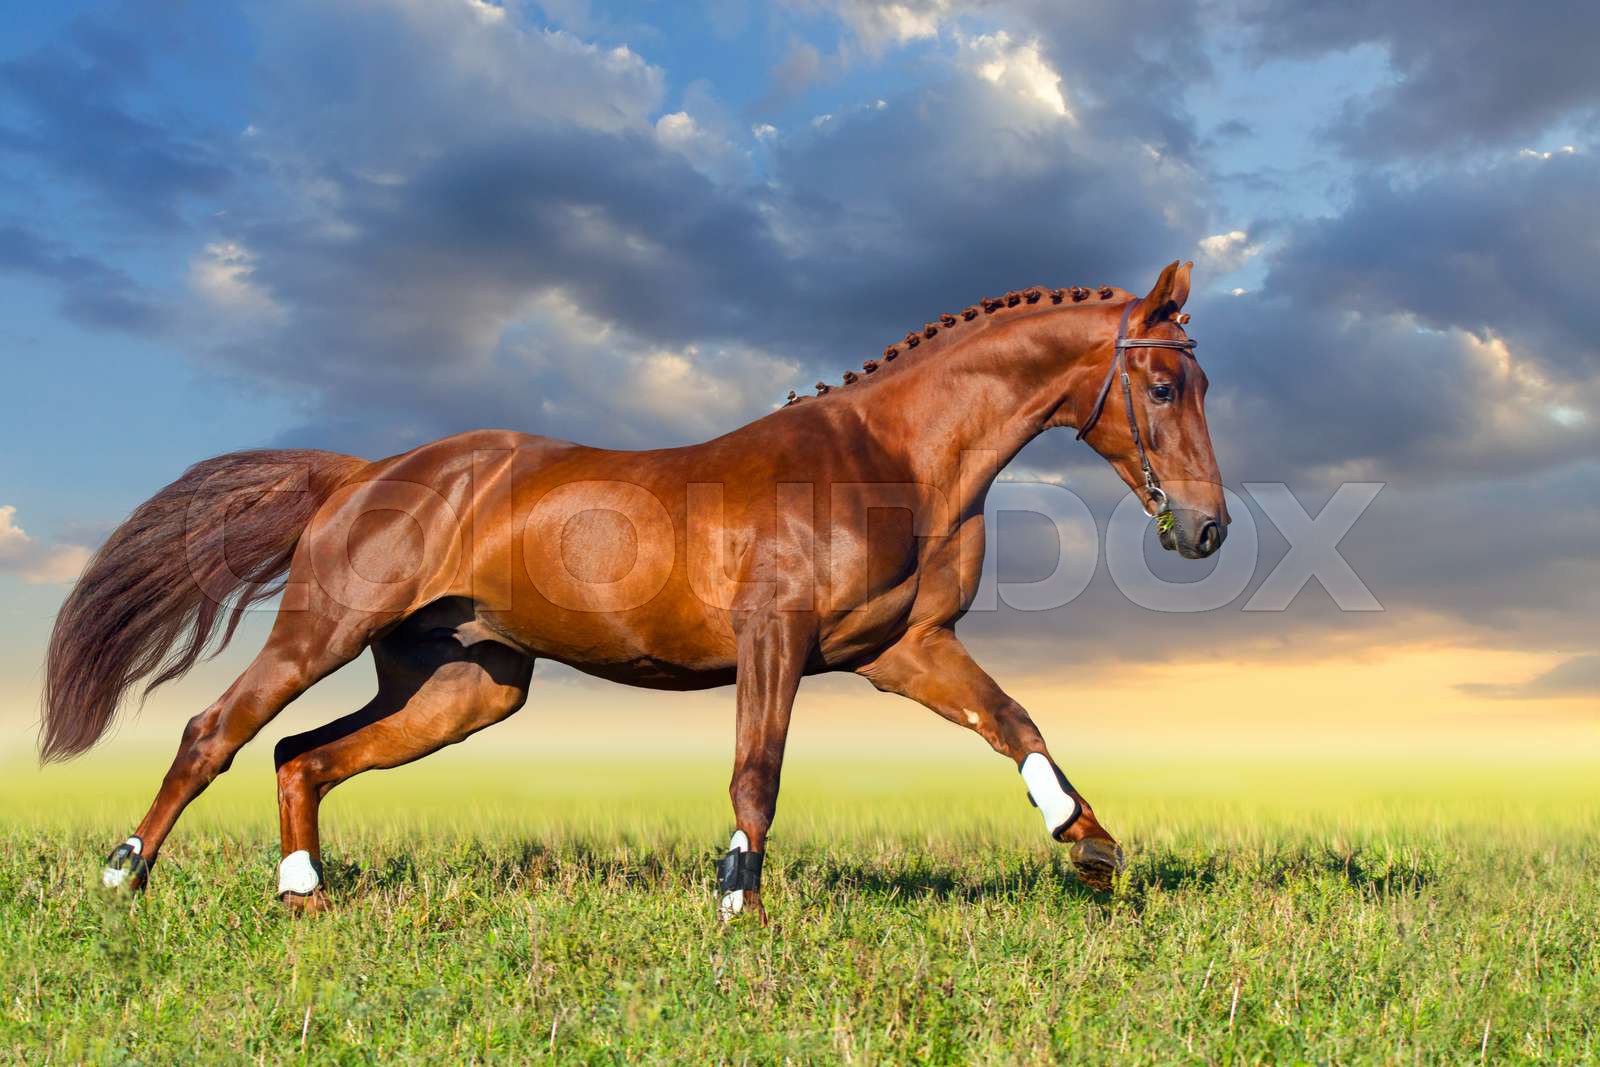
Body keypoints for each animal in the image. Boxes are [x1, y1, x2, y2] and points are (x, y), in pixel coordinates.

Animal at [42, 260, 1225, 921]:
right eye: (1165, 382)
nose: (1205, 527)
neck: (888, 457)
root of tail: (362, 473)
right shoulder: (775, 638)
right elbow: (757, 775)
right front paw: (739, 905)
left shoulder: (902, 650)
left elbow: (1013, 720)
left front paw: (1091, 847)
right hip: (323, 631)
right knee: (216, 731)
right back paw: (123, 877)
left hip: (466, 684)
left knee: (303, 754)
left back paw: (303, 893)